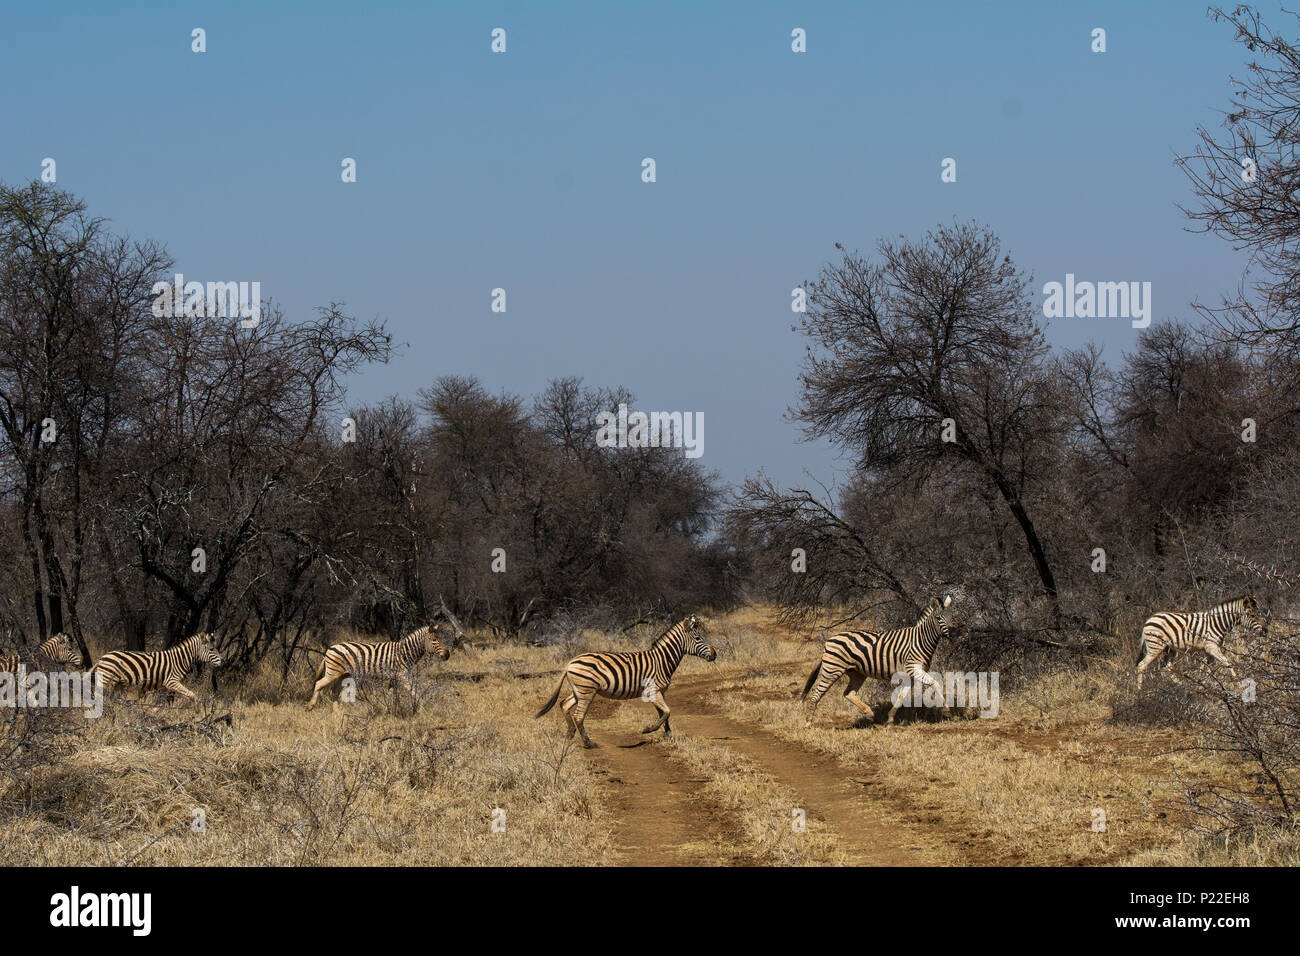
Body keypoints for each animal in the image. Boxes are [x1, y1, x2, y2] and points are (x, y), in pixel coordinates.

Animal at [91, 633, 223, 706]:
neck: (179, 660)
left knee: (112, 698)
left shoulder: (165, 687)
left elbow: (166, 701)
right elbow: (192, 694)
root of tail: (103, 657)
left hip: (118, 683)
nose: (222, 661)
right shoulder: (172, 681)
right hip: (105, 679)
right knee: (97, 696)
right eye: (211, 649)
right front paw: (196, 709)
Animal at [306, 624, 451, 711]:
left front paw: (391, 709)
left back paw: (337, 713)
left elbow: (390, 693)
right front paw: (421, 706)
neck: (404, 652)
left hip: (342, 674)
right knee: (319, 684)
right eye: (434, 640)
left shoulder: (394, 676)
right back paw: (310, 706)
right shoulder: (402, 675)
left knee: (334, 691)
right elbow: (413, 691)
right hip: (333, 673)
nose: (448, 654)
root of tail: (329, 648)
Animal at [535, 615, 717, 748]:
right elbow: (667, 712)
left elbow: (663, 714)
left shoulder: (659, 692)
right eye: (698, 638)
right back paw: (589, 743)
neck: (662, 660)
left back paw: (569, 735)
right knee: (579, 715)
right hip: (587, 691)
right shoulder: (652, 690)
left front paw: (668, 735)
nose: (715, 654)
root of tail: (570, 663)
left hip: (579, 690)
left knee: (565, 704)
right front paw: (648, 729)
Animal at [801, 595, 955, 725]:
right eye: (938, 618)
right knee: (816, 694)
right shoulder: (914, 669)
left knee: (848, 693)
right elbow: (935, 683)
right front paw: (947, 711)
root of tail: (828, 641)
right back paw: (808, 722)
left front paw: (890, 719)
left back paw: (869, 713)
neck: (921, 640)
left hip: (857, 673)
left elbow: (901, 696)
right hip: (832, 670)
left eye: (951, 617)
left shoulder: (910, 675)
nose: (954, 632)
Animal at [1135, 594, 1265, 690]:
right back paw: (1139, 691)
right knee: (1141, 666)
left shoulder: (1208, 649)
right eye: (1252, 615)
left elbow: (1209, 668)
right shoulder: (1211, 646)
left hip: (1169, 649)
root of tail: (1148, 621)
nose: (1266, 631)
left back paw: (1183, 685)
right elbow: (1227, 662)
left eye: (1259, 613)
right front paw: (1238, 683)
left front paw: (1205, 685)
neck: (1218, 623)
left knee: (1166, 668)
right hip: (1155, 646)